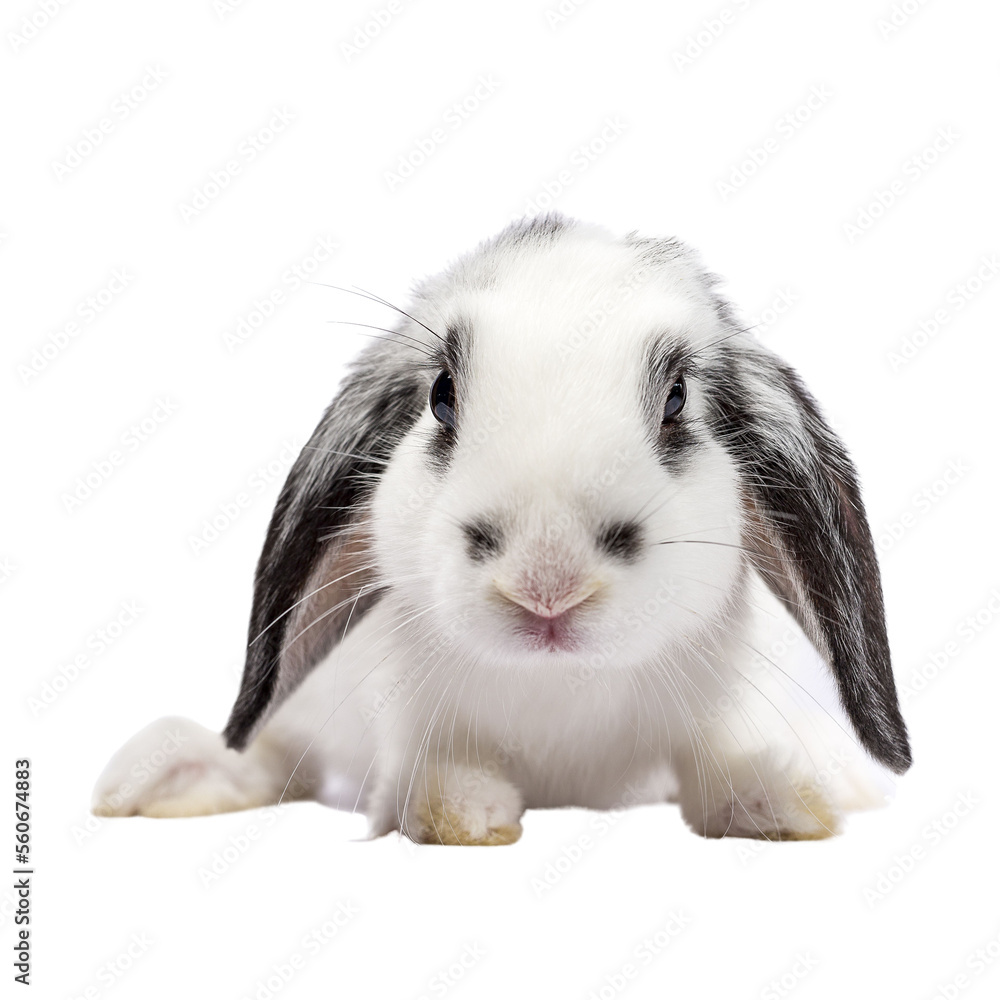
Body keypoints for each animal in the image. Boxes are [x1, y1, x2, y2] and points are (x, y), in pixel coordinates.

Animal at [92, 214, 911, 844]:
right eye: (442, 397)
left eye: (677, 400)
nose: (546, 583)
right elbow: (426, 771)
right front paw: (461, 811)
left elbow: (720, 761)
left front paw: (783, 800)